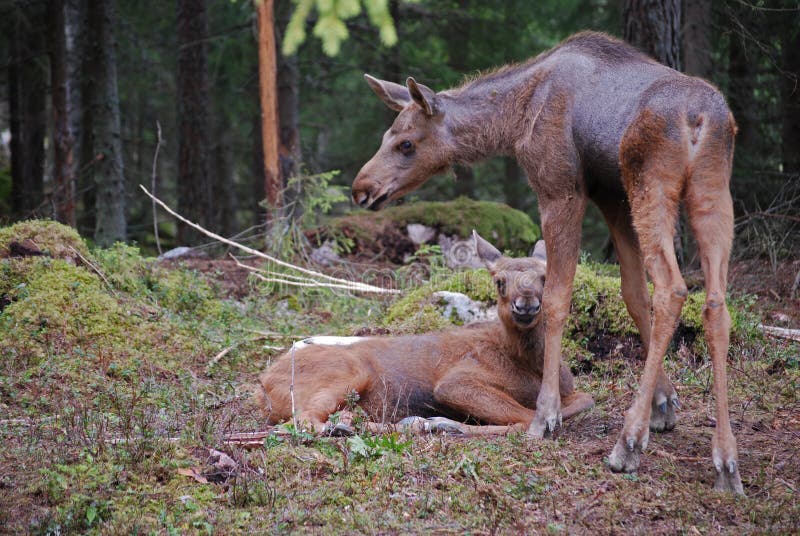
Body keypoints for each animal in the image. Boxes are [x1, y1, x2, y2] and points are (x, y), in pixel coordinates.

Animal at [256, 233, 594, 436]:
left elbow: (584, 399)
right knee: (301, 421)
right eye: (499, 281)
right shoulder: (456, 381)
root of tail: (263, 385)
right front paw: (444, 423)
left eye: (544, 277)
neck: (531, 368)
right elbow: (528, 419)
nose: (526, 304)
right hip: (344, 372)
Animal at [350, 31, 743, 493]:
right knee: (716, 303)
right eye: (387, 135)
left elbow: (557, 297)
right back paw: (725, 459)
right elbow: (631, 293)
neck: (515, 118)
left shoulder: (561, 188)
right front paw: (665, 403)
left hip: (654, 182)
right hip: (712, 189)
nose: (361, 188)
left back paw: (628, 443)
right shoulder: (611, 196)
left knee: (674, 287)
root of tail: (699, 118)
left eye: (406, 143)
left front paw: (547, 413)